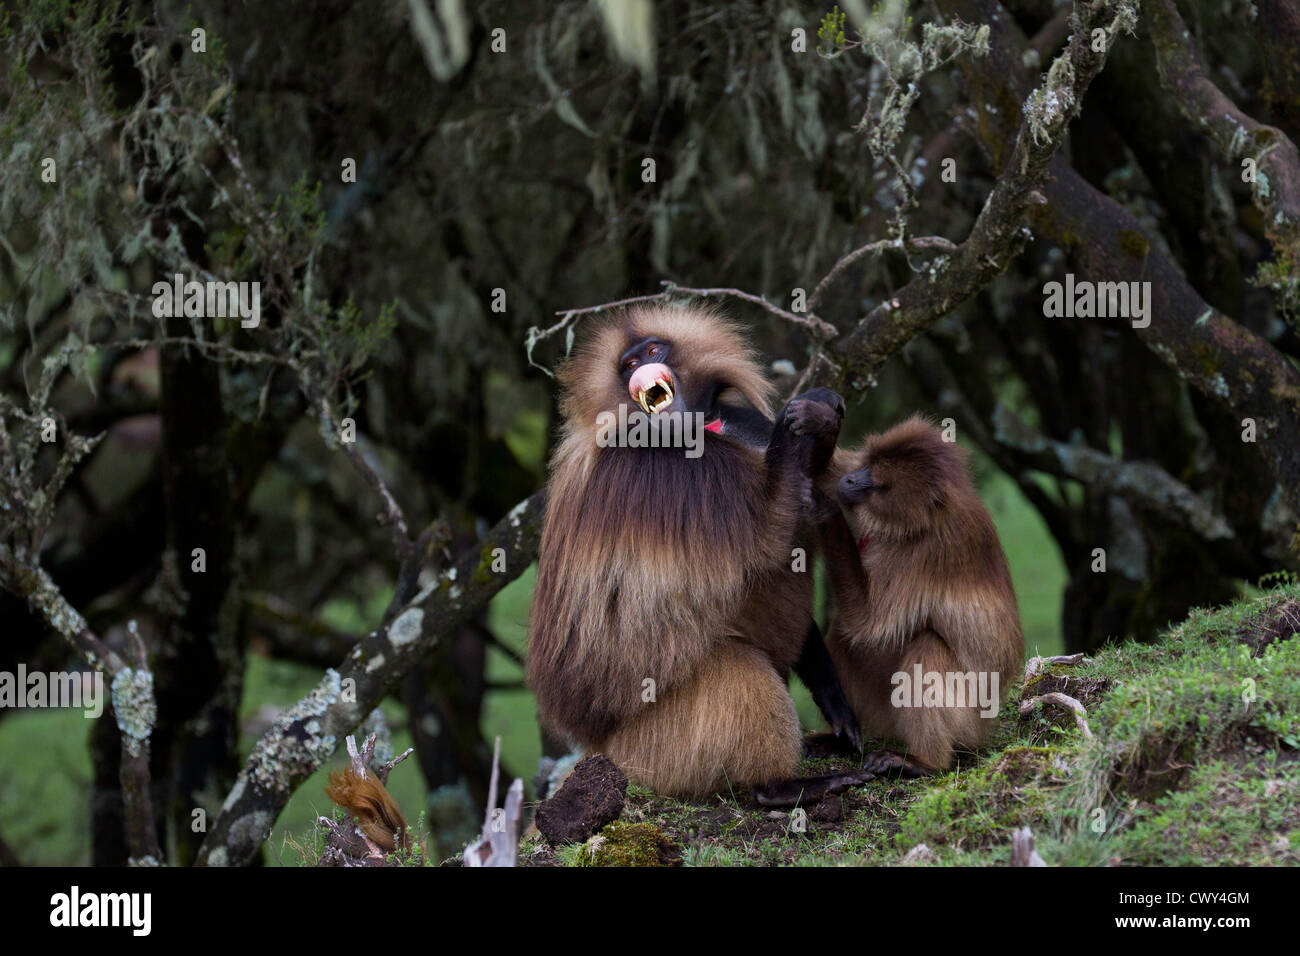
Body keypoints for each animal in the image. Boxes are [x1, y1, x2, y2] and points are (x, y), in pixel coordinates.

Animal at [526, 304, 856, 798]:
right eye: (627, 364)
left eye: (653, 351)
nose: (639, 371)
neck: (699, 428)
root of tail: (597, 749)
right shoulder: (659, 467)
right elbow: (768, 533)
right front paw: (806, 413)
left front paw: (840, 713)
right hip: (649, 750)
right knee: (737, 666)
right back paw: (779, 787)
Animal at [809, 414, 1025, 776]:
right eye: (866, 465)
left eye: (875, 484)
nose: (849, 479)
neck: (929, 517)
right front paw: (813, 421)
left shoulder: (925, 552)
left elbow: (868, 621)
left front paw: (825, 509)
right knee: (843, 637)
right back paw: (841, 740)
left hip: (966, 722)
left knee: (927, 649)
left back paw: (924, 762)